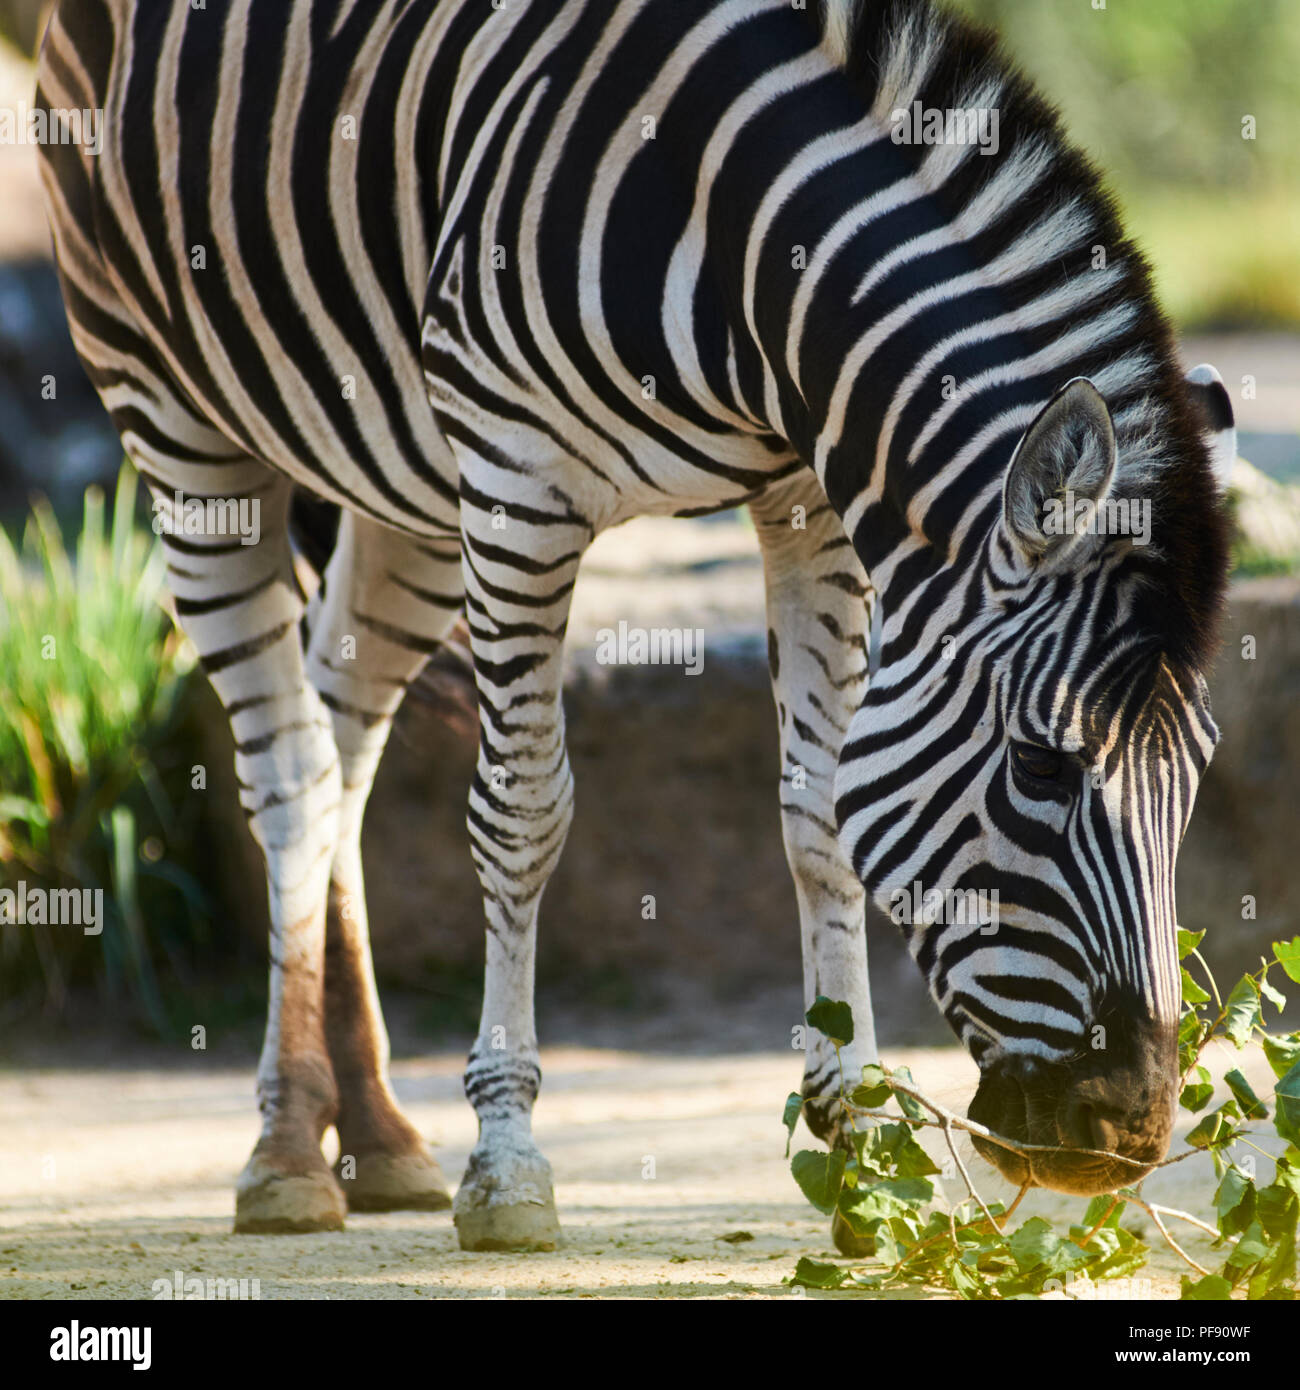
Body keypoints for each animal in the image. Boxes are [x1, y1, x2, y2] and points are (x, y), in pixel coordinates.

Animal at [36, 0, 1238, 1252]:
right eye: (1042, 766)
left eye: (1197, 773)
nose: (1130, 1138)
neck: (739, 244)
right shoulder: (520, 480)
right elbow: (521, 814)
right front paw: (508, 1161)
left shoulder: (805, 498)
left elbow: (820, 811)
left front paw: (859, 1146)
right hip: (179, 419)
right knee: (285, 772)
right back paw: (283, 1148)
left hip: (402, 476)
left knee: (342, 736)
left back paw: (372, 1131)